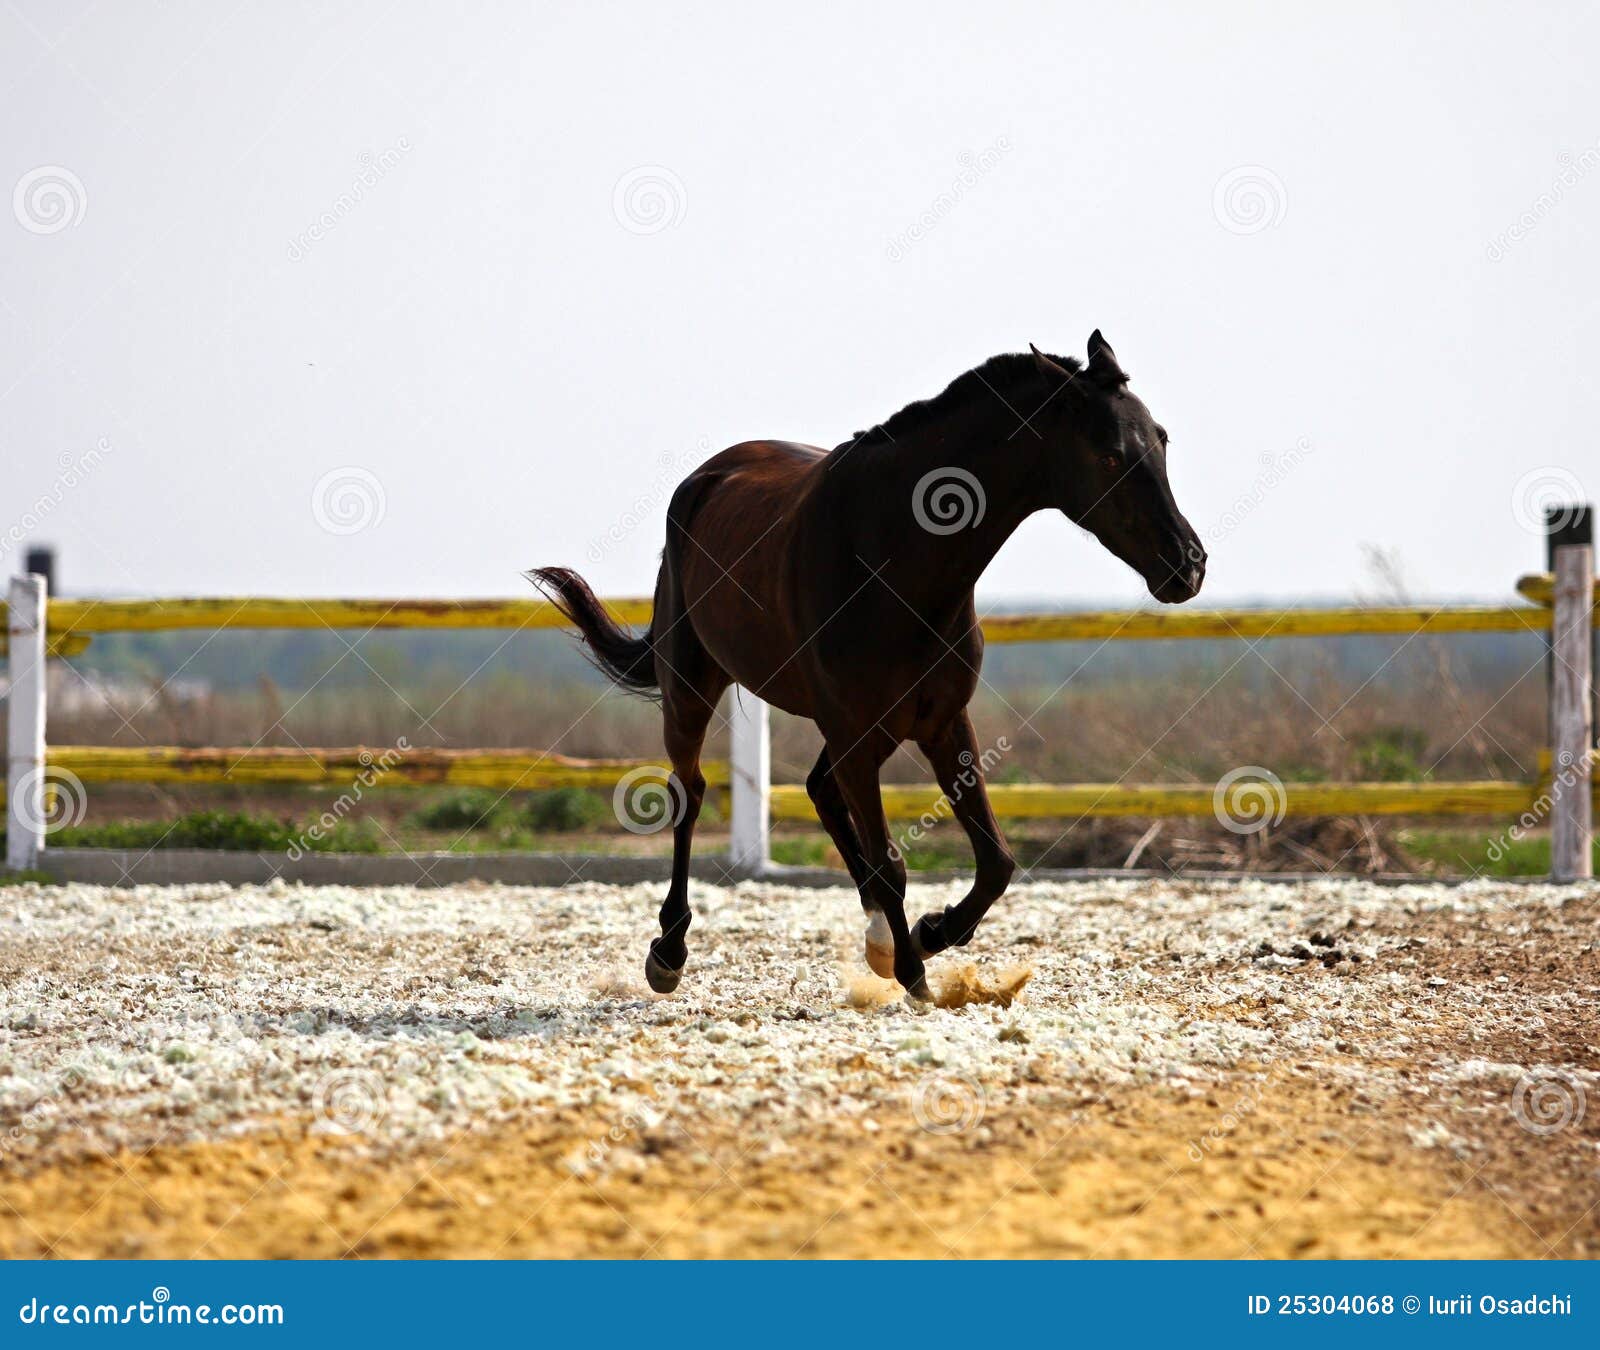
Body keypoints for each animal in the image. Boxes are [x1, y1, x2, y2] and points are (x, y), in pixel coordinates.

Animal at [531, 332, 1205, 1003]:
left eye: (1163, 440)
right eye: (1110, 457)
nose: (1188, 565)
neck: (896, 558)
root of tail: (704, 480)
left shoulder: (939, 722)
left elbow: (995, 861)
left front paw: (928, 936)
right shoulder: (858, 733)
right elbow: (891, 863)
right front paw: (914, 970)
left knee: (818, 790)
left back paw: (879, 936)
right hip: (695, 689)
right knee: (690, 793)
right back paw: (669, 951)